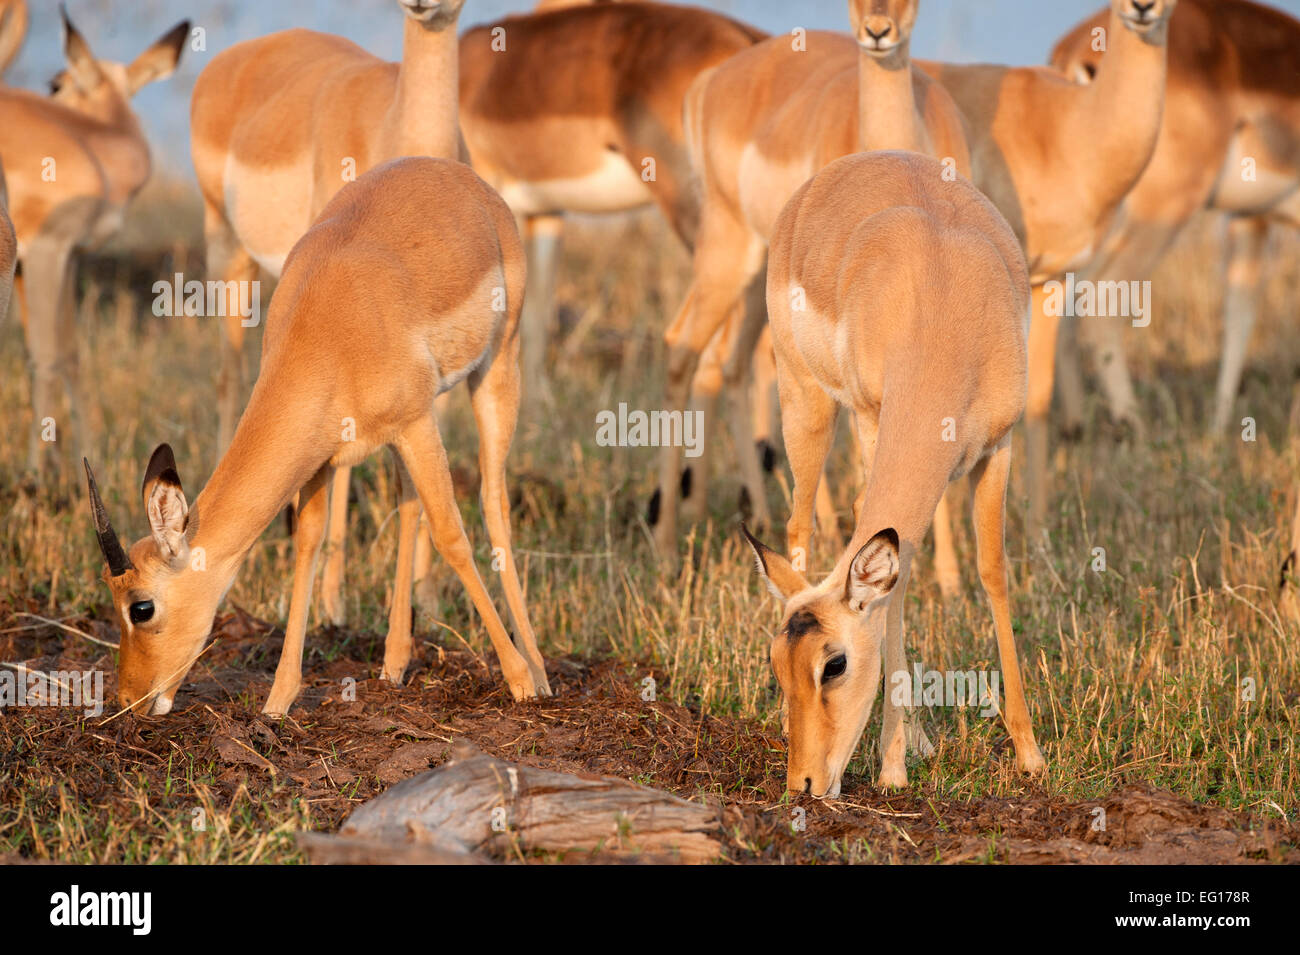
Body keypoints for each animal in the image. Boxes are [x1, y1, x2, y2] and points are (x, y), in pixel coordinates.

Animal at [0, 8, 187, 471]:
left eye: (56, 84)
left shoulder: (65, 259)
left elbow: (69, 355)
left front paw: (88, 459)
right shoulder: (45, 253)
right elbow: (44, 355)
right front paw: (37, 473)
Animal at [85, 155, 549, 717]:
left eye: (141, 607)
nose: (129, 699)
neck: (325, 330)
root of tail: (459, 175)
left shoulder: (414, 422)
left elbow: (451, 535)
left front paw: (519, 679)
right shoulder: (325, 457)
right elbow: (308, 542)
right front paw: (278, 700)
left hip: (495, 370)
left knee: (492, 502)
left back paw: (538, 671)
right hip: (408, 431)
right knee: (409, 503)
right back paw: (394, 663)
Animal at [653, 0, 971, 569]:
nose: (878, 32)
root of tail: (713, 80)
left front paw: (951, 579)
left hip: (759, 277)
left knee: (729, 363)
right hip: (730, 253)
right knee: (682, 348)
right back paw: (669, 545)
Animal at [749, 150, 1045, 795]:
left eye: (834, 663)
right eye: (777, 666)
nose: (802, 783)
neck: (940, 305)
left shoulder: (999, 448)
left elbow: (992, 572)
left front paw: (1030, 754)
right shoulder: (870, 418)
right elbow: (897, 579)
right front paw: (892, 768)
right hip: (806, 401)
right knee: (799, 526)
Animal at [1049, 0, 1300, 438]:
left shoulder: (1249, 218)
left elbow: (1239, 314)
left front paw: (1218, 432)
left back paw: (1075, 427)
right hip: (1165, 209)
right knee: (1100, 295)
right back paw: (1134, 428)